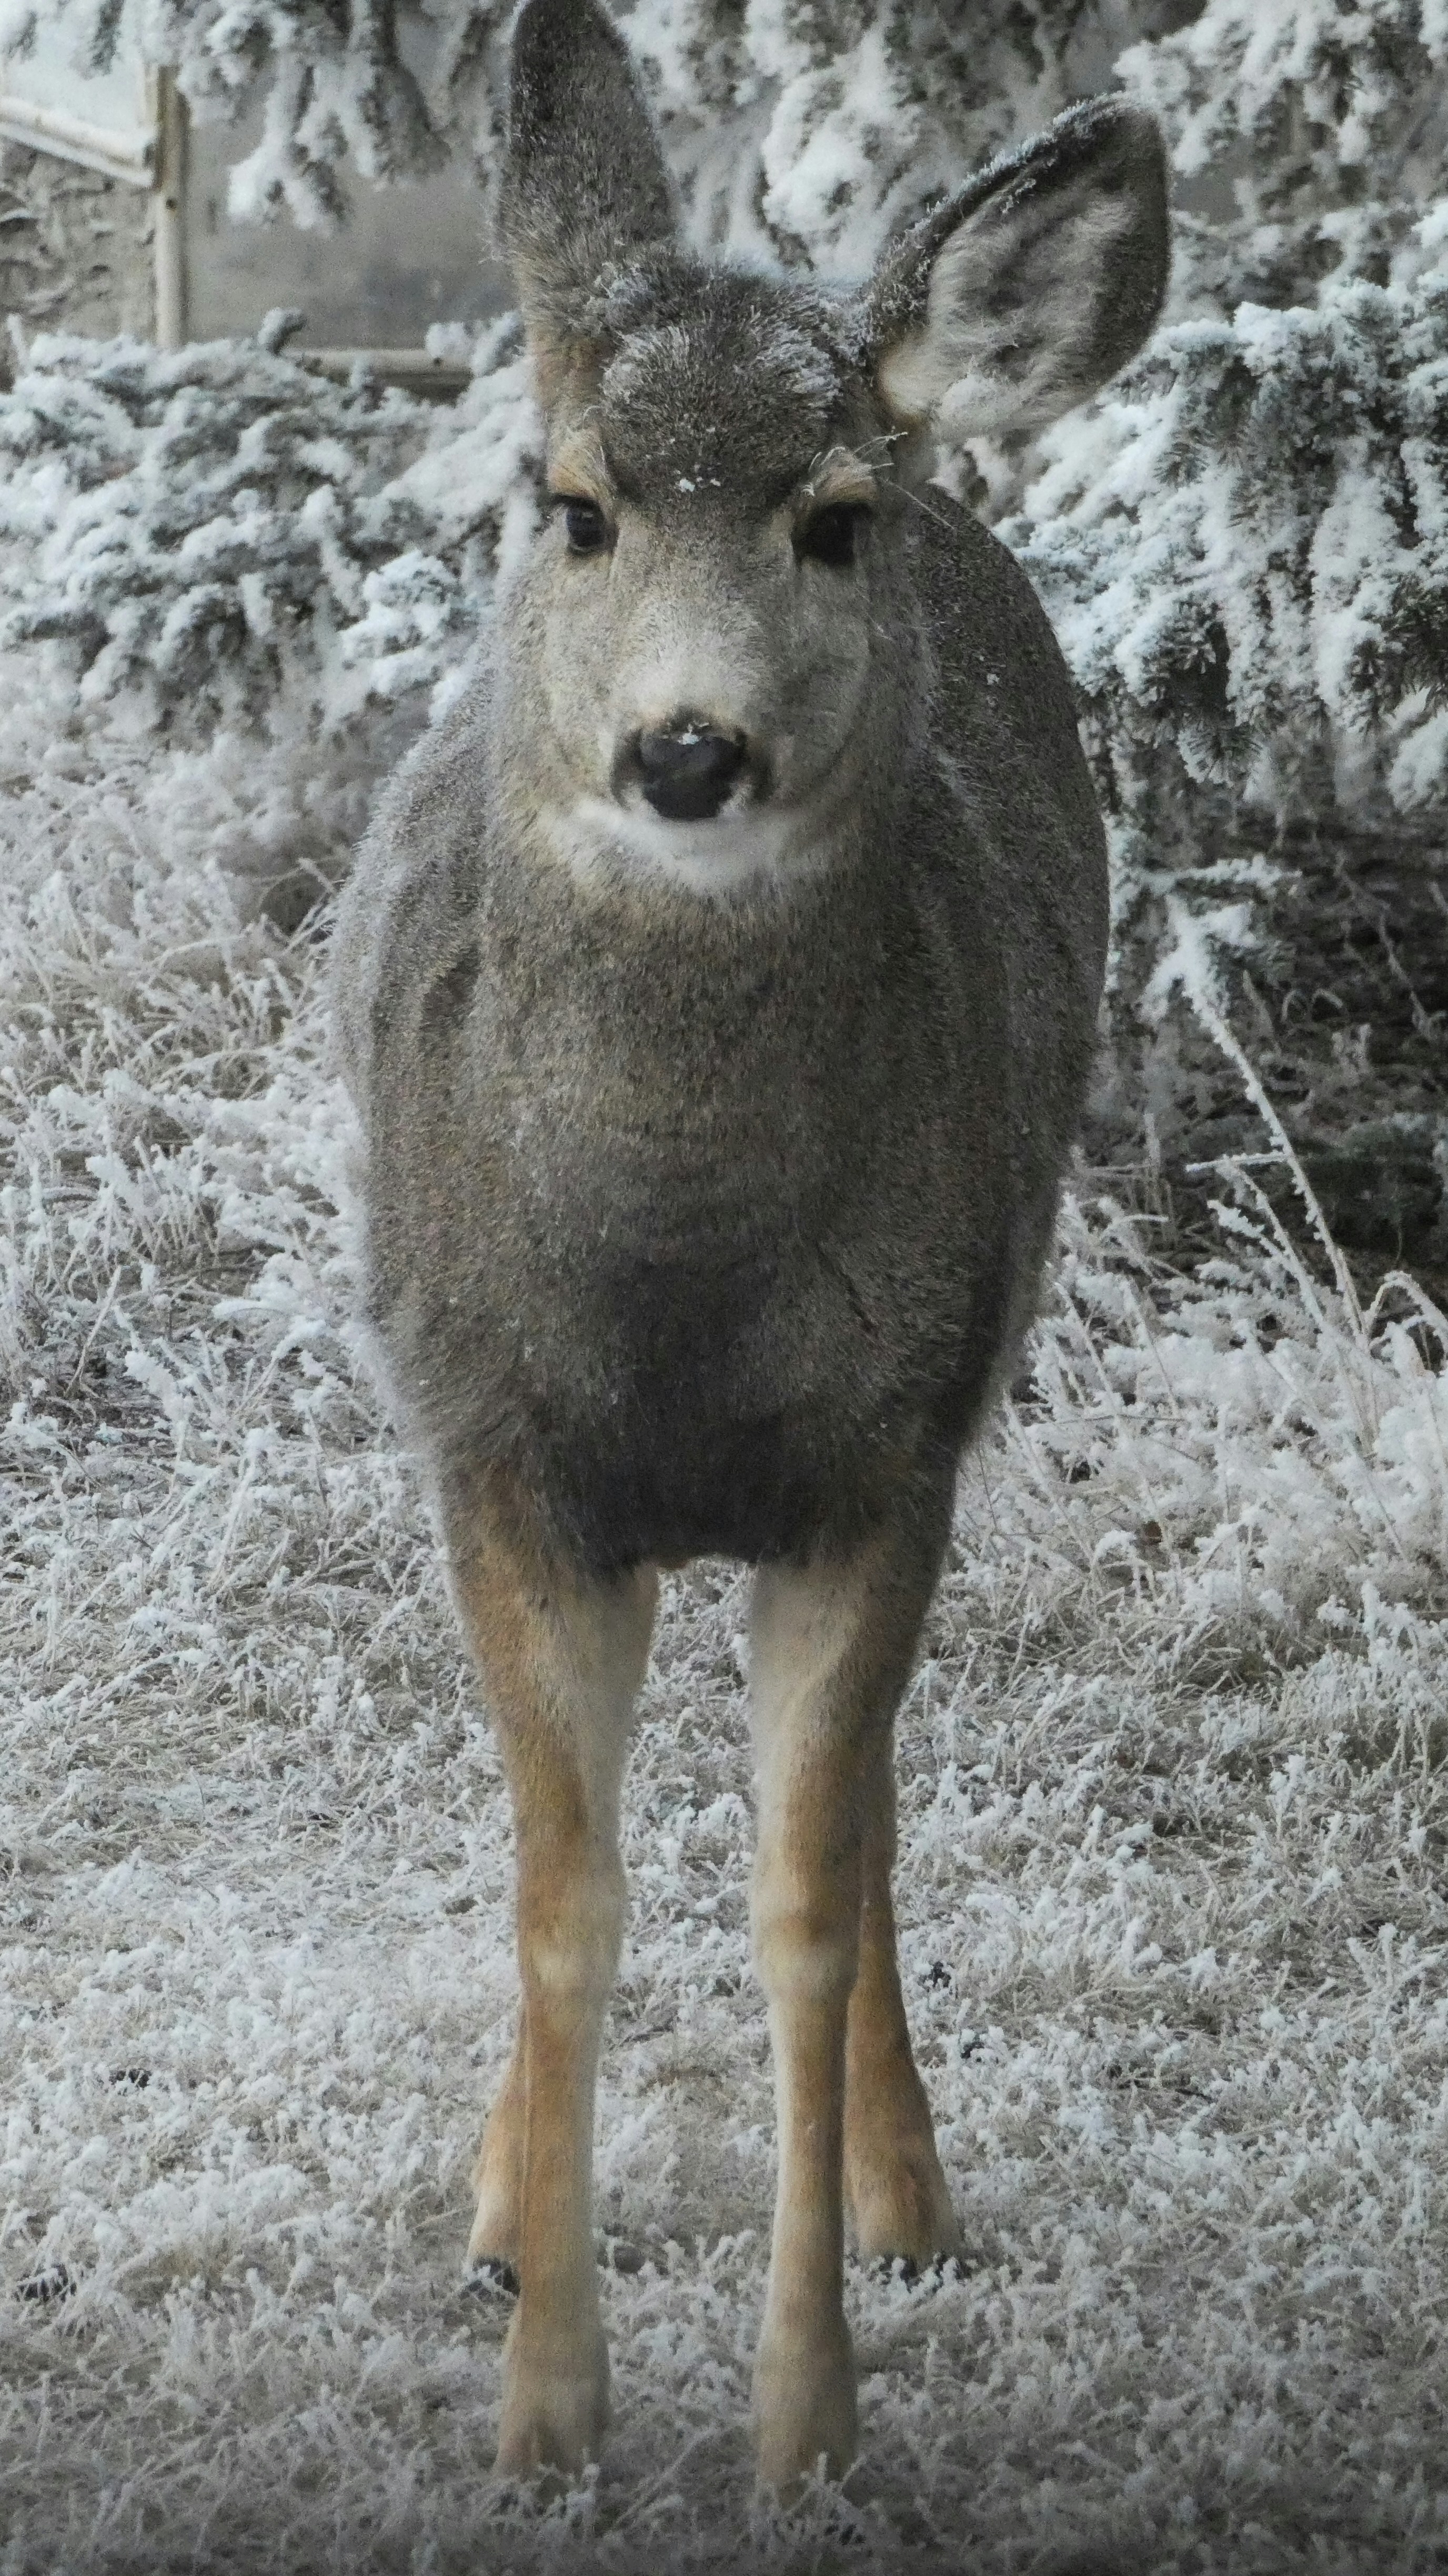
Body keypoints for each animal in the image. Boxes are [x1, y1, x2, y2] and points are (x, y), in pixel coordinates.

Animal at [332, 0, 1168, 2497]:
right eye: (573, 500)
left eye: (831, 517)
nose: (686, 750)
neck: (677, 1295)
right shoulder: (497, 1452)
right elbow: (563, 1899)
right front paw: (545, 2403)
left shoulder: (877, 1456)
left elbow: (802, 1894)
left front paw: (807, 2421)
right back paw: (497, 2205)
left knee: (870, 1817)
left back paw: (909, 2194)